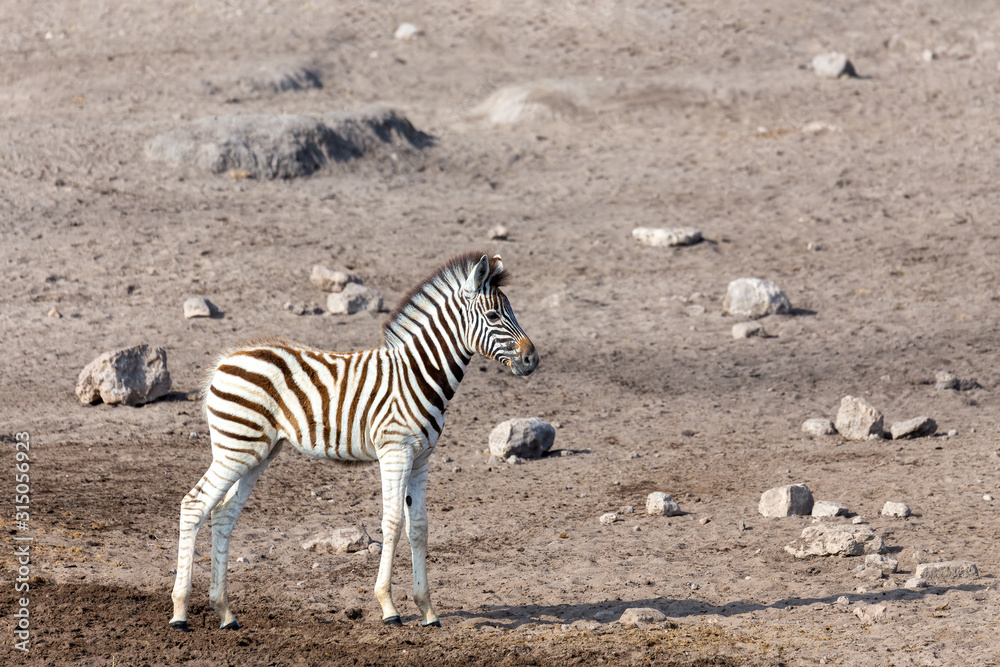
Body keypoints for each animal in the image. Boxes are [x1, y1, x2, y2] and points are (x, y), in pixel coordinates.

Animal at [169, 252, 538, 631]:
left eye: (511, 310)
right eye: (493, 315)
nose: (532, 359)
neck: (418, 373)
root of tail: (226, 360)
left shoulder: (421, 458)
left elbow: (419, 527)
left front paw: (427, 610)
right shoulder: (395, 451)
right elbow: (393, 522)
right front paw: (388, 606)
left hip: (259, 452)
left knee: (223, 514)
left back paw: (225, 612)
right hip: (236, 447)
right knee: (195, 505)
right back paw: (180, 612)